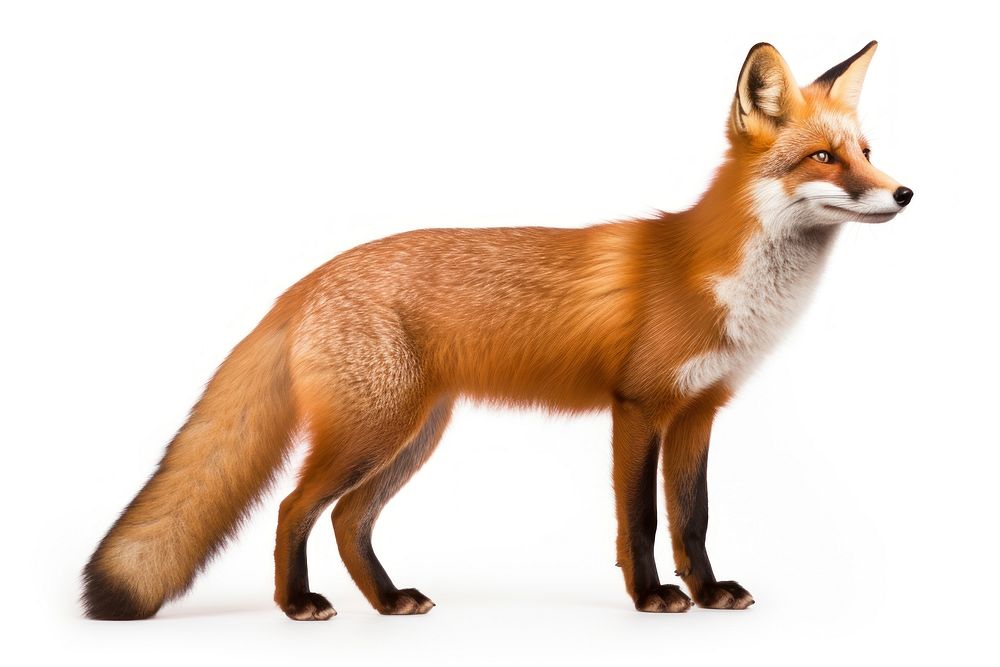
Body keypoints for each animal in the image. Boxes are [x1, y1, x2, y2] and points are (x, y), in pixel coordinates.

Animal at [82, 41, 912, 620]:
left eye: (867, 153)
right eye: (824, 158)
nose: (904, 192)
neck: (717, 273)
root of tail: (309, 279)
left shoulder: (699, 412)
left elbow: (694, 519)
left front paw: (707, 593)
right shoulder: (638, 407)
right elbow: (642, 520)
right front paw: (652, 598)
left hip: (413, 433)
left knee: (348, 518)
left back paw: (388, 601)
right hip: (372, 431)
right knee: (294, 508)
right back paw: (298, 605)